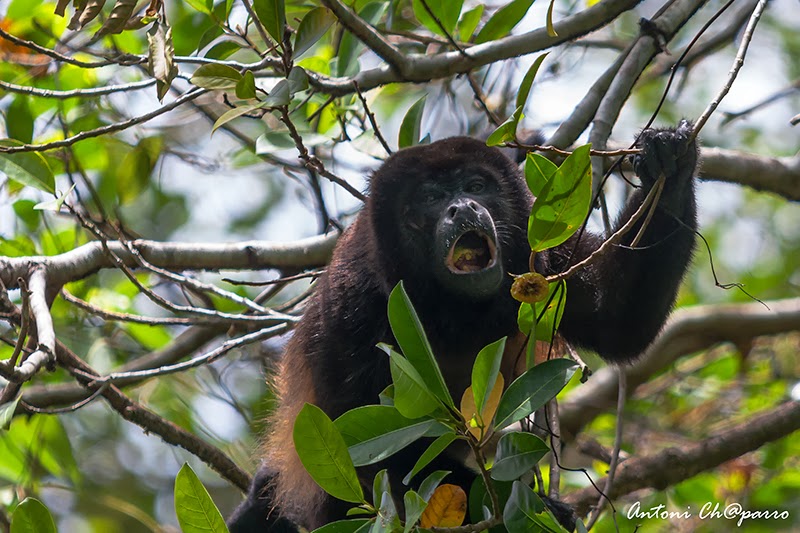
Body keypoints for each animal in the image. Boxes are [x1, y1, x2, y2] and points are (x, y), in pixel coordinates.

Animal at [227, 121, 698, 532]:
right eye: (432, 196)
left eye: (476, 187)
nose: (464, 207)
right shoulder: (350, 310)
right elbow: (365, 443)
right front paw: (531, 506)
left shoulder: (545, 250)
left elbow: (618, 320)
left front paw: (667, 161)